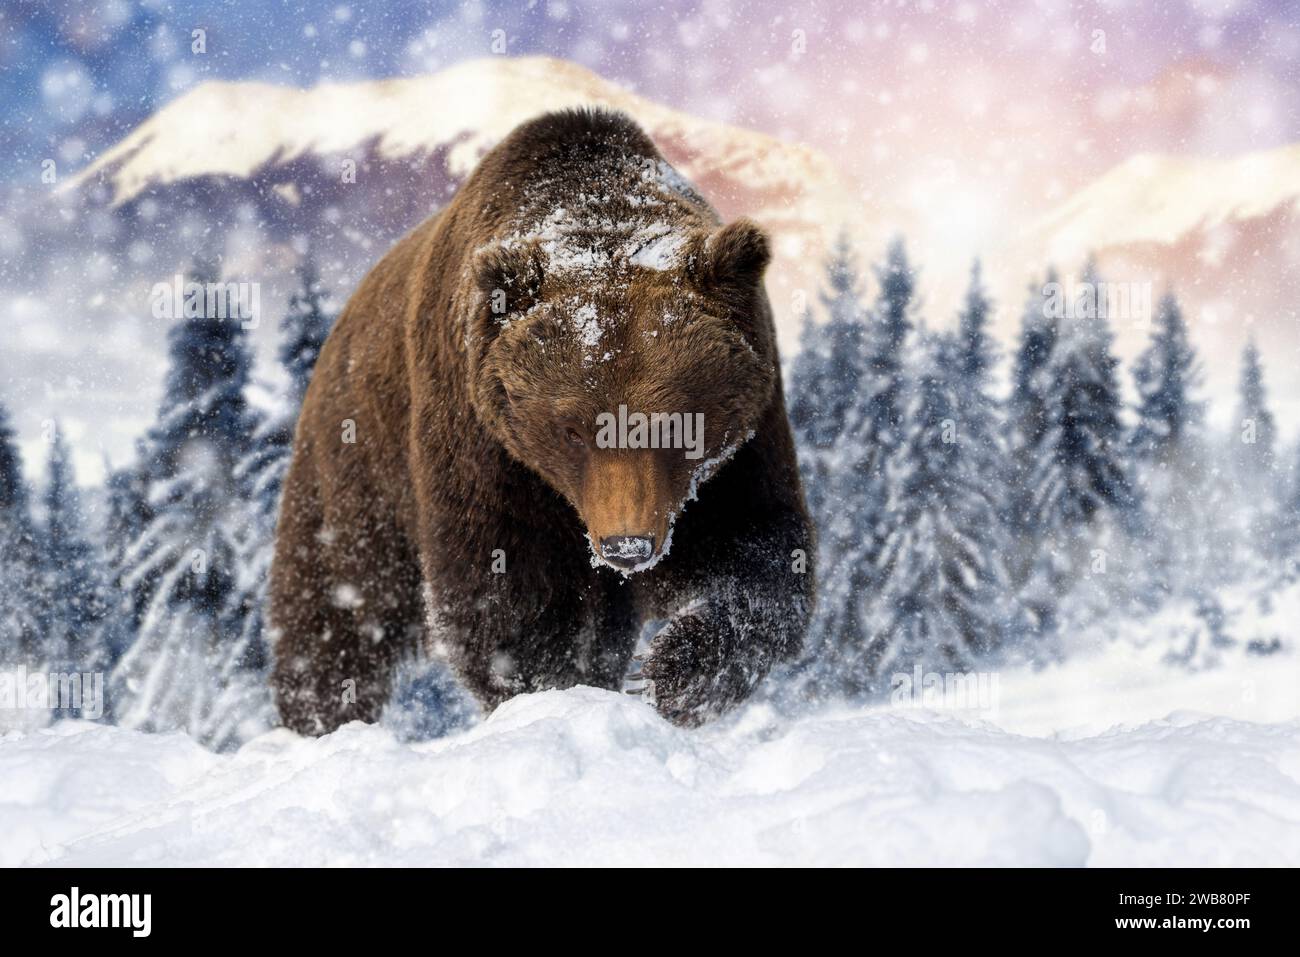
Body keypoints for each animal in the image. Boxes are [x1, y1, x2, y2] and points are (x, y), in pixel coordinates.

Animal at [269, 108, 814, 733]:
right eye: (571, 429)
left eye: (676, 423)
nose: (627, 545)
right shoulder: (488, 446)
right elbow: (505, 587)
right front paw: (549, 691)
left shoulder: (738, 446)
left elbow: (757, 550)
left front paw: (676, 670)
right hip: (358, 459)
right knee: (337, 599)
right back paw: (319, 713)